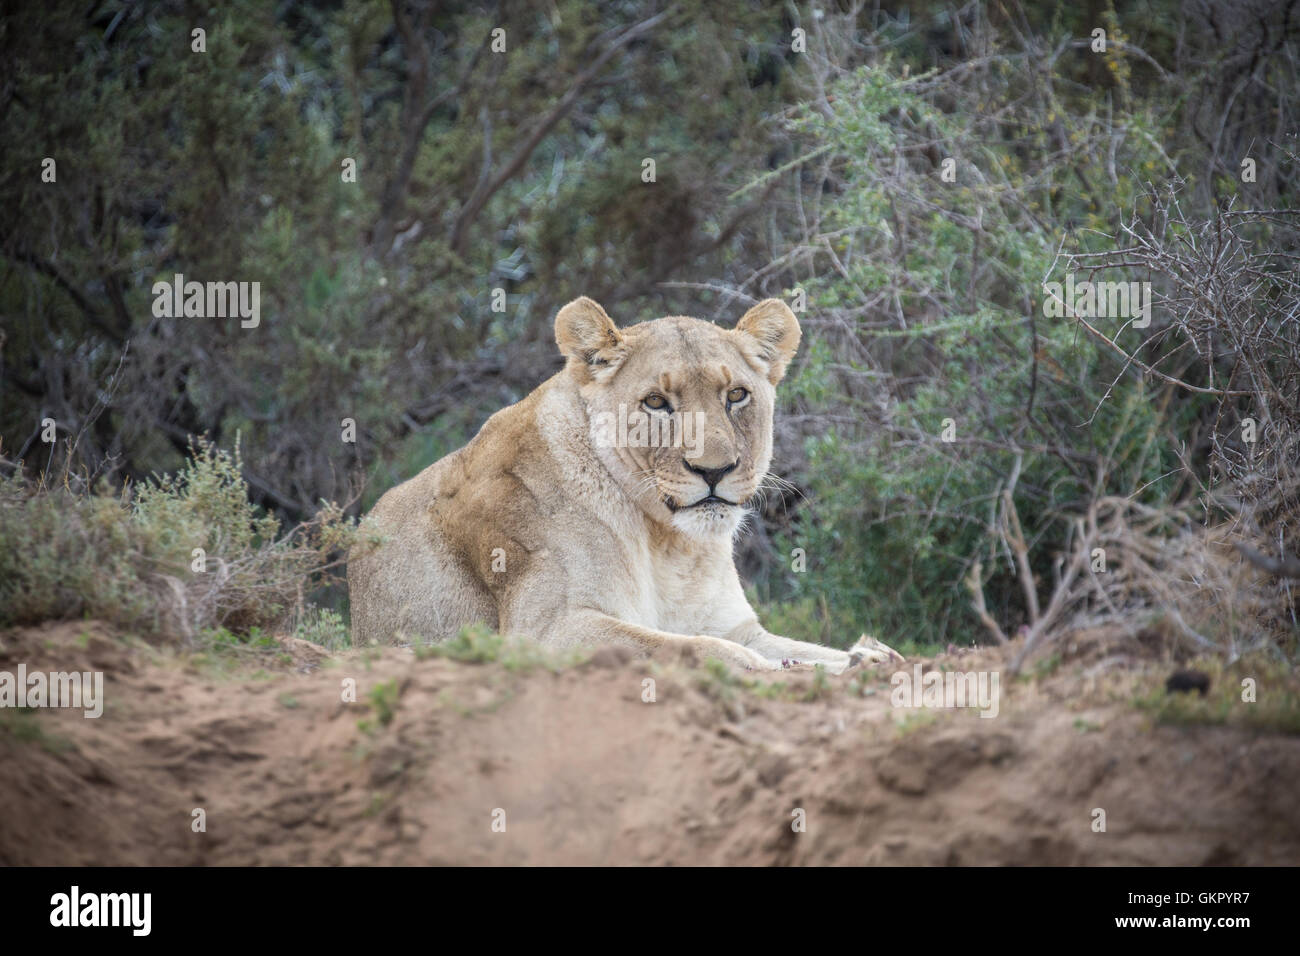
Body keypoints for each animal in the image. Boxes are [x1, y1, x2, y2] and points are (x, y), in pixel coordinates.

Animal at [348, 296, 902, 673]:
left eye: (736, 395)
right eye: (656, 402)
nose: (715, 470)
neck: (671, 545)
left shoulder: (736, 624)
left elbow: (797, 647)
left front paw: (868, 656)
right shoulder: (543, 631)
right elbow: (692, 647)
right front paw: (787, 666)